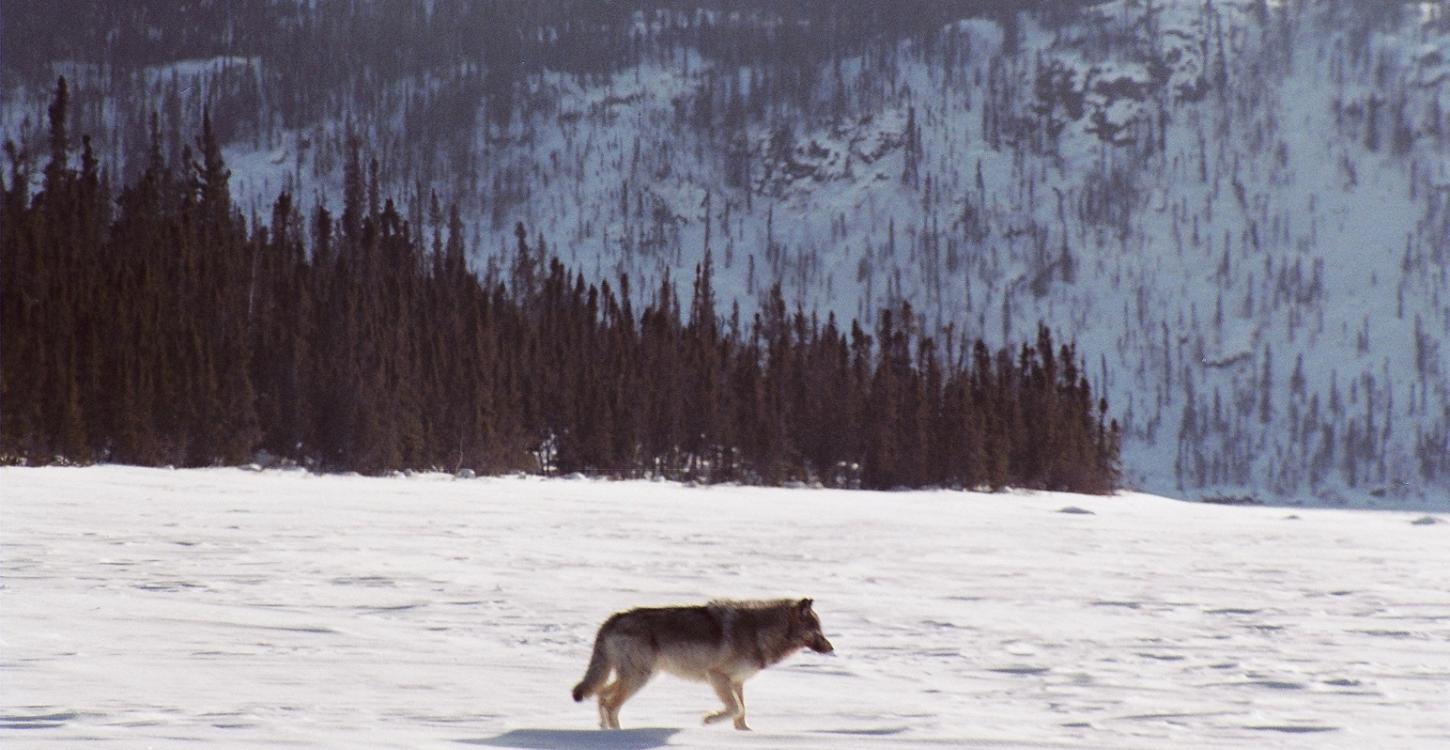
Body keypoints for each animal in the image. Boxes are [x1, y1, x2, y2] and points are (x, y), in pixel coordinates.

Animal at [571, 598, 834, 730]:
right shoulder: (717, 677)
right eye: (817, 631)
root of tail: (612, 619)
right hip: (639, 678)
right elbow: (735, 708)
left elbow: (741, 712)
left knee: (602, 696)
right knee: (611, 704)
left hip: (641, 676)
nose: (832, 648)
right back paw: (617, 736)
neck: (759, 632)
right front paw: (709, 720)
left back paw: (604, 730)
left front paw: (746, 735)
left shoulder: (737, 682)